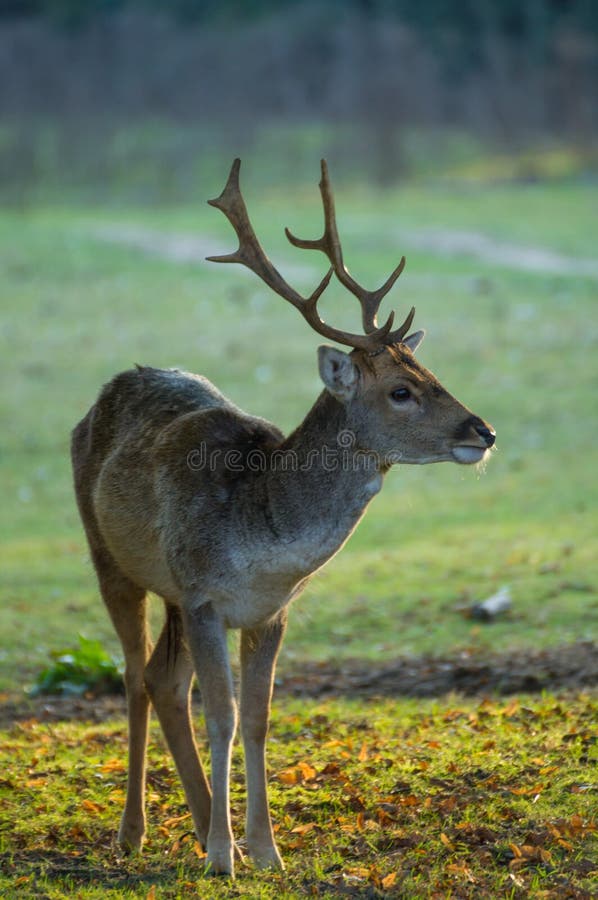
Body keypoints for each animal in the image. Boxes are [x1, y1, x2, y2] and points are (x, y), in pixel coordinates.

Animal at [71, 158, 495, 878]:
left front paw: (264, 851)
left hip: (171, 592)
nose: (483, 431)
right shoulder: (206, 595)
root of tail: (96, 400)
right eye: (400, 390)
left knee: (163, 679)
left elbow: (258, 718)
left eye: (431, 371)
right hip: (109, 555)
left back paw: (201, 824)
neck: (264, 541)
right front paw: (224, 858)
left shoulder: (269, 611)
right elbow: (222, 715)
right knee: (133, 676)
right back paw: (135, 832)